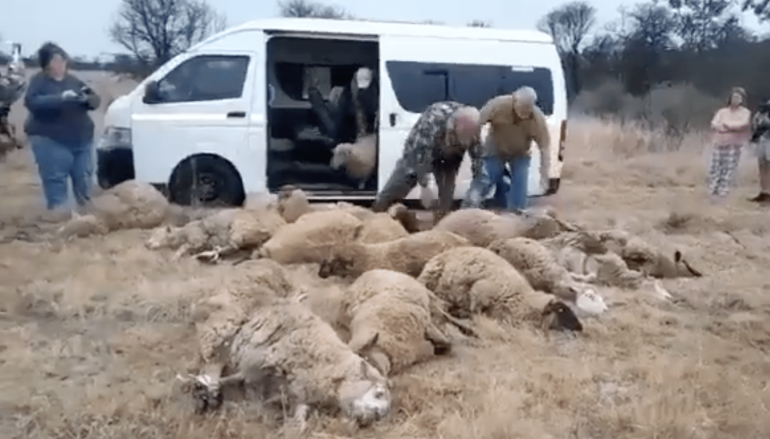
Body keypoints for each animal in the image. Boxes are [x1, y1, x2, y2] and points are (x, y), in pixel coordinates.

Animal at [180, 296, 392, 433]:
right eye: (378, 393)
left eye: (384, 412)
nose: (376, 414)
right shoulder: (260, 363)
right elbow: (253, 390)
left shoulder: (301, 393)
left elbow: (299, 418)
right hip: (219, 335)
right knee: (212, 365)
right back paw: (206, 391)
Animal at [417, 246, 583, 332]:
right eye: (562, 310)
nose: (581, 327)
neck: (520, 299)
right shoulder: (480, 289)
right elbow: (475, 311)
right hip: (431, 277)